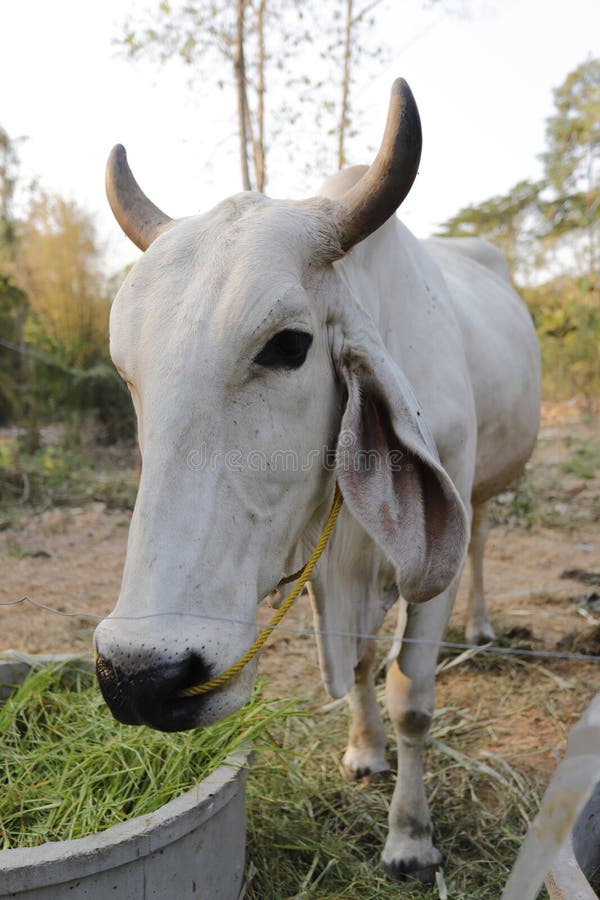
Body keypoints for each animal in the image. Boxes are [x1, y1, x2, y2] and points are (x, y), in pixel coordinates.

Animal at [94, 78, 541, 880]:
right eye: (126, 368)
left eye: (288, 346)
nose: (140, 678)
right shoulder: (326, 559)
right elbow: (359, 661)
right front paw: (364, 752)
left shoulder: (434, 540)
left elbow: (411, 693)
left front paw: (410, 837)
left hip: (481, 491)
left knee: (485, 540)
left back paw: (485, 625)